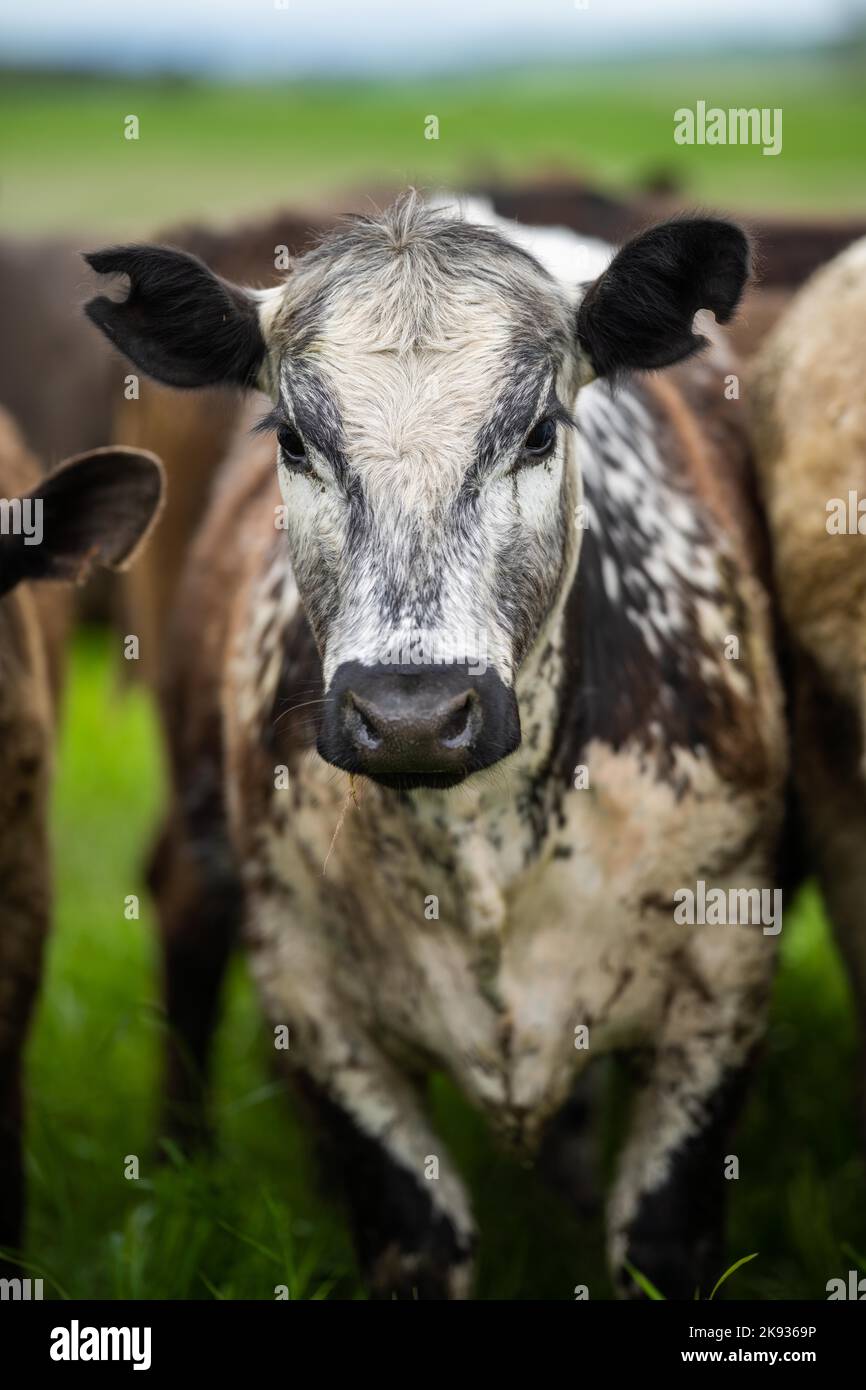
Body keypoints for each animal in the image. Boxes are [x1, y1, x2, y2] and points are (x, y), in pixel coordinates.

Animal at [84, 193, 788, 1299]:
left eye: (537, 433)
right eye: (293, 440)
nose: (410, 711)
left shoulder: (721, 984)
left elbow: (661, 1241)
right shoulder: (315, 1002)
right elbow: (414, 1234)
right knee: (185, 901)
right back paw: (175, 1157)